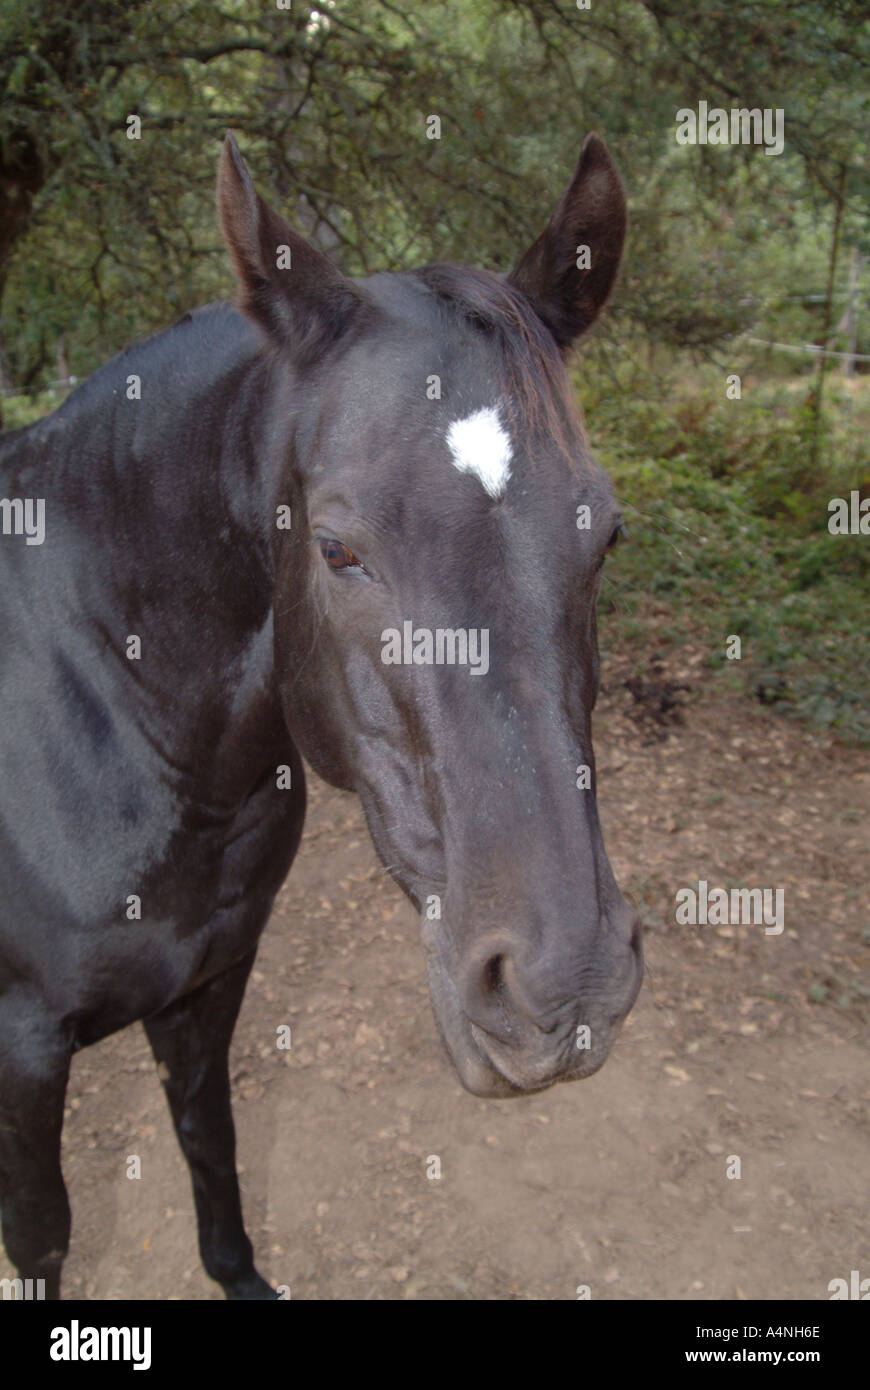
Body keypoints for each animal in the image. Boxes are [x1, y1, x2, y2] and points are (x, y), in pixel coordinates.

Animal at [0, 131, 641, 1299]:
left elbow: (209, 1133)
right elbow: (43, 1233)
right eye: (338, 548)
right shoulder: (22, 1047)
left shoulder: (210, 981)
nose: (565, 987)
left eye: (604, 534)